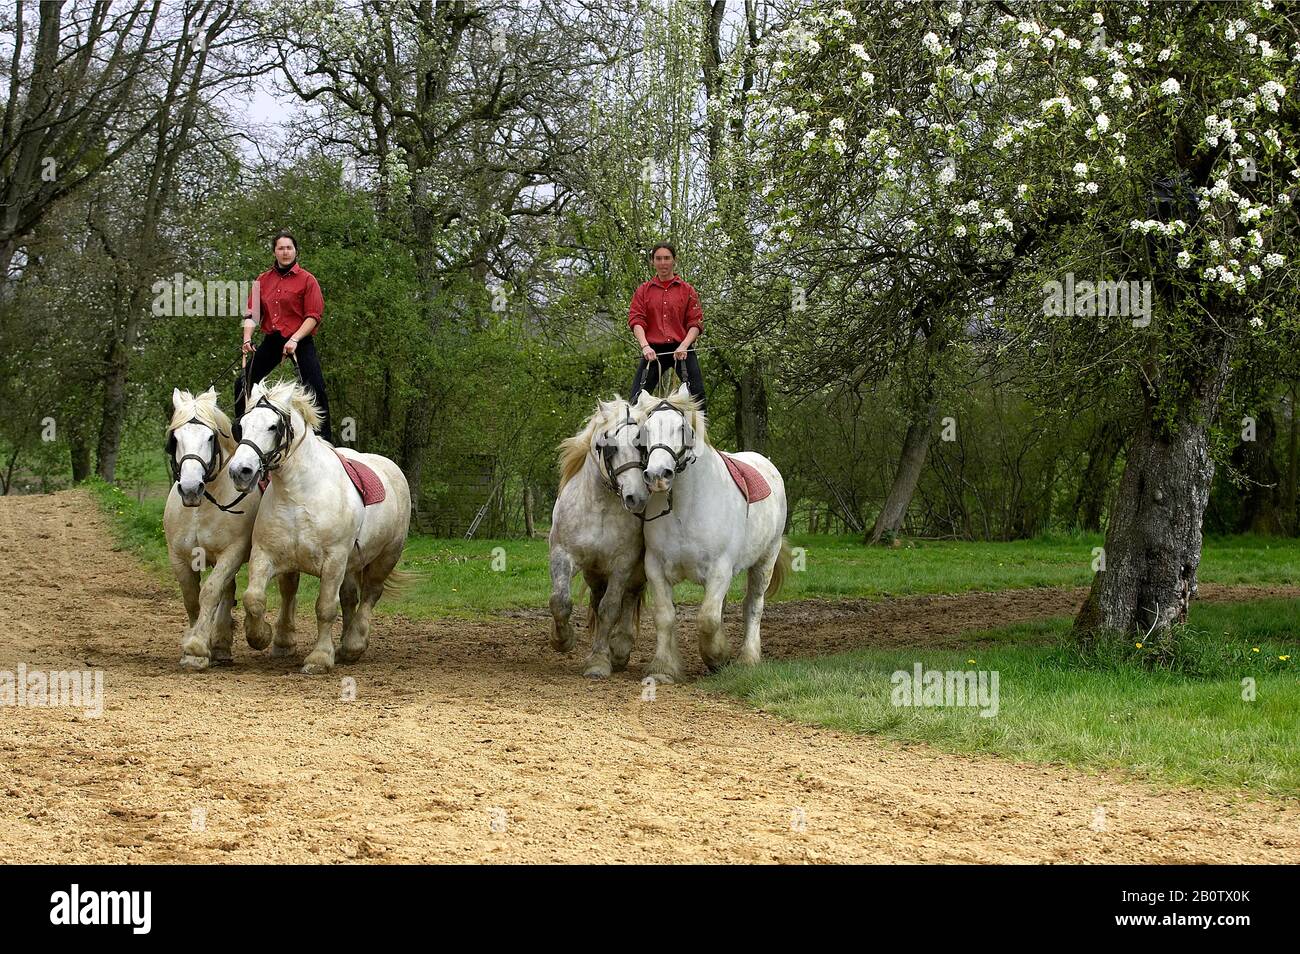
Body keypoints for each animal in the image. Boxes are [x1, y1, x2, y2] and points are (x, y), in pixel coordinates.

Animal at [162, 387, 300, 670]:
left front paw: (197, 648)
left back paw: (283, 641)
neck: (203, 505)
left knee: (287, 588)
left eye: (210, 437)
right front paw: (196, 645)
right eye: (176, 438)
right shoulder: (178, 556)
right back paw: (221, 644)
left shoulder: (233, 552)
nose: (190, 488)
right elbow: (192, 598)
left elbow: (209, 592)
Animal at [227, 380, 411, 674]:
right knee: (349, 597)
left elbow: (325, 608)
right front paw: (260, 636)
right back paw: (345, 645)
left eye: (273, 426)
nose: (240, 471)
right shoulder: (265, 554)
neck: (299, 494)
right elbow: (253, 598)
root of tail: (392, 468)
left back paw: (355, 643)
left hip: (385, 557)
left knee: (370, 594)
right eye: (241, 426)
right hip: (352, 564)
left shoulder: (334, 560)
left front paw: (320, 658)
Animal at [549, 398, 649, 677]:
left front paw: (599, 662)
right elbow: (560, 601)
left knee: (630, 598)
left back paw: (620, 650)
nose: (636, 497)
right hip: (593, 572)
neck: (599, 508)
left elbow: (610, 609)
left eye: (643, 446)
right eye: (609, 446)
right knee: (595, 598)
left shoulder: (622, 566)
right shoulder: (563, 556)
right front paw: (563, 640)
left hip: (636, 571)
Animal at [634, 384, 791, 682]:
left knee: (753, 605)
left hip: (766, 559)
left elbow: (707, 618)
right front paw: (663, 669)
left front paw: (718, 656)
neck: (685, 508)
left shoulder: (720, 568)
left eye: (682, 428)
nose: (658, 475)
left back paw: (748, 658)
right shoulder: (655, 567)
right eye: (645, 430)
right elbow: (665, 616)